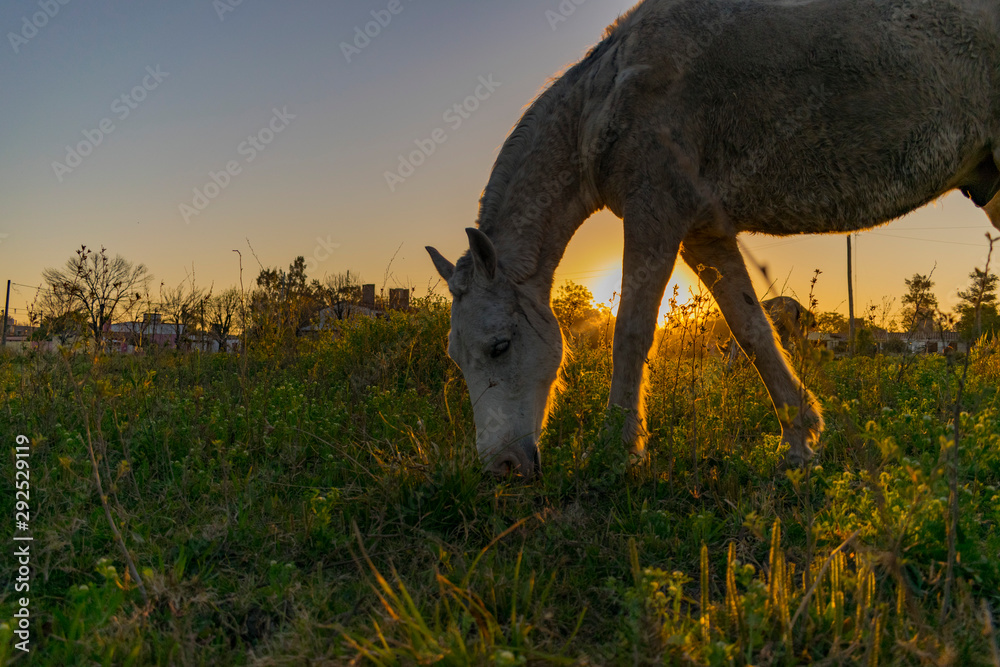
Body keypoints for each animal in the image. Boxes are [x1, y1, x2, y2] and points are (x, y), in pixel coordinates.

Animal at [426, 0, 1000, 476]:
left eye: (500, 346)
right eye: (456, 356)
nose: (501, 467)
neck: (608, 94)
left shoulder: (656, 214)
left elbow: (630, 331)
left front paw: (617, 450)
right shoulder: (706, 234)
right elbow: (752, 331)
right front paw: (798, 441)